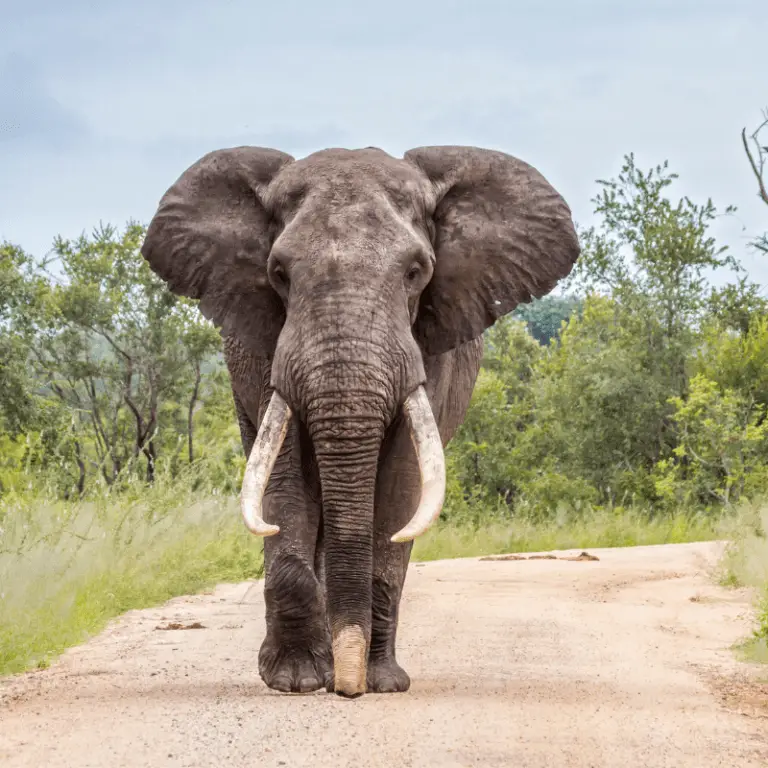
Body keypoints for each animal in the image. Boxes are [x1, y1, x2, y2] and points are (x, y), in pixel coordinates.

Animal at [140, 145, 580, 698]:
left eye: (416, 271)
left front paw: (378, 681)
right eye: (279, 272)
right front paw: (297, 680)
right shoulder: (269, 347)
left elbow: (398, 487)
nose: (348, 689)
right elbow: (284, 479)